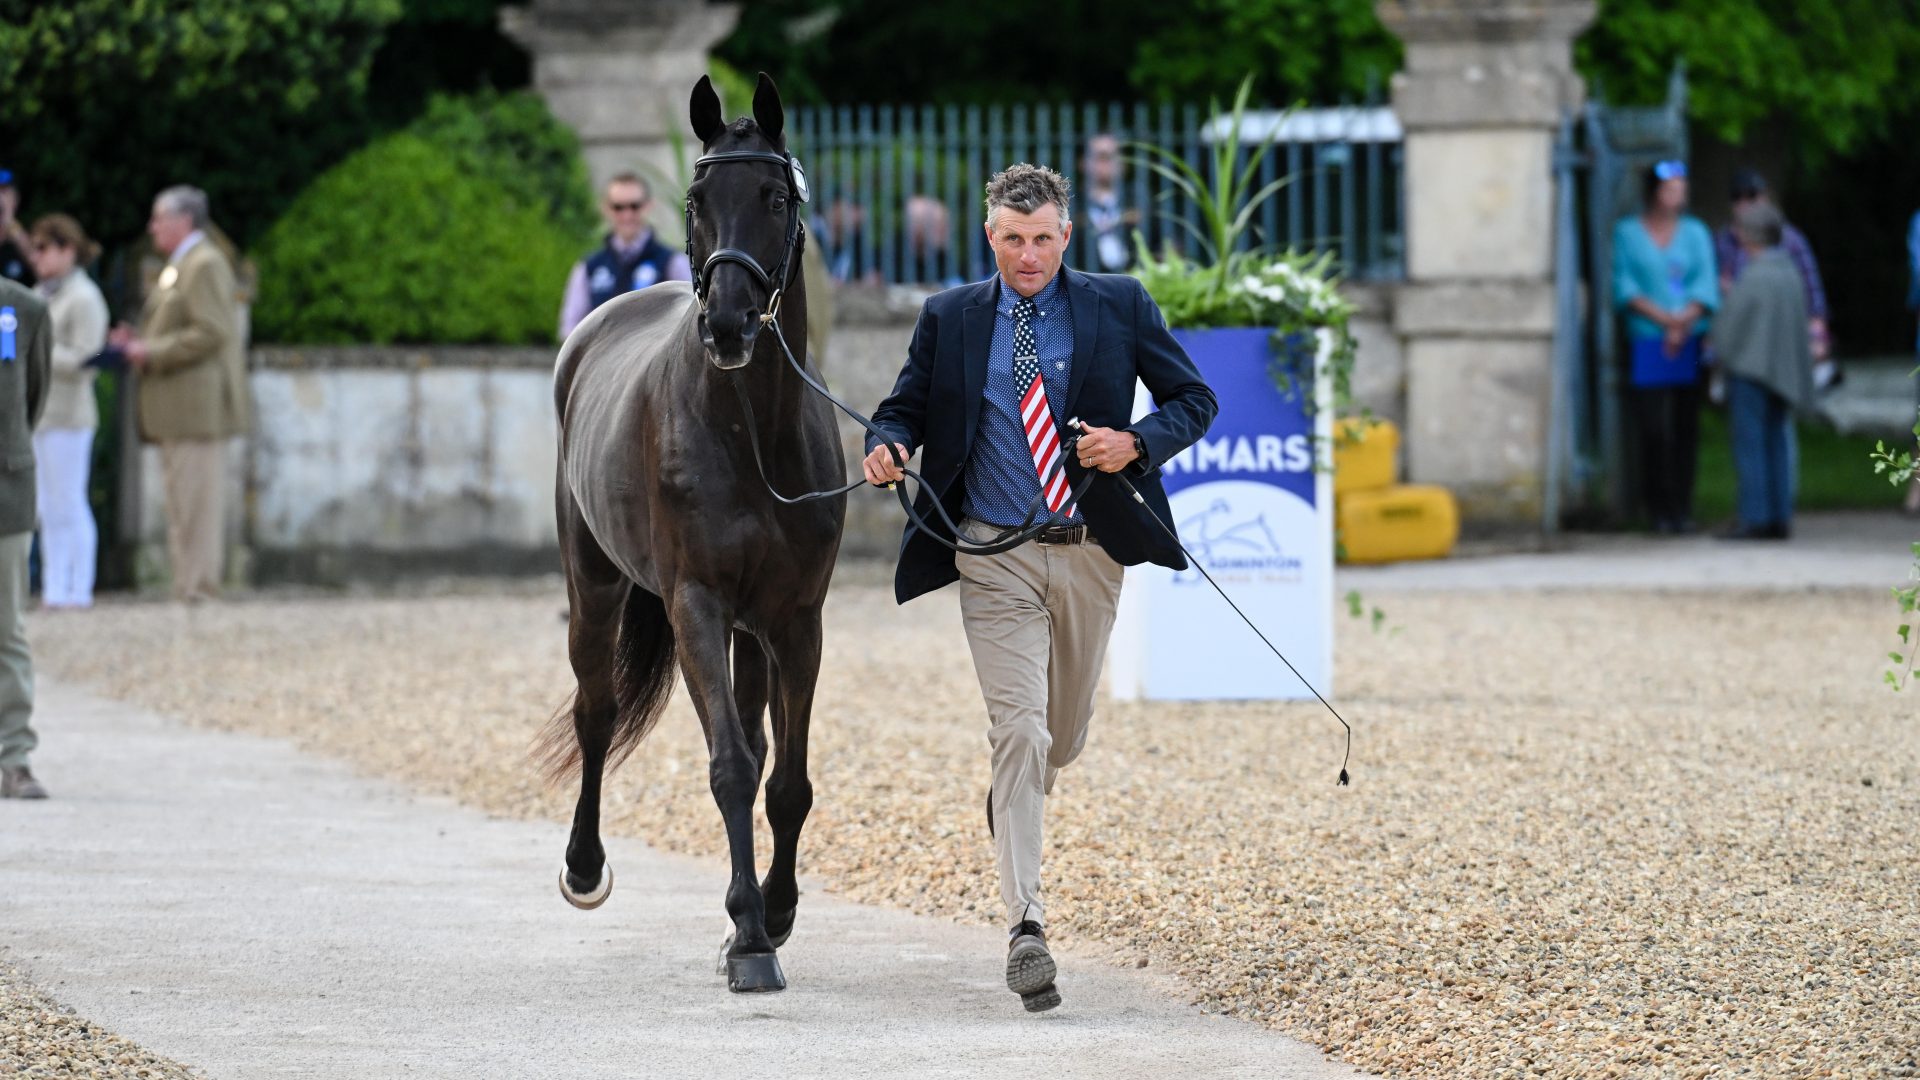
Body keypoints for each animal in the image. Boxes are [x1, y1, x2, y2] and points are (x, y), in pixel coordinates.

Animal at [538, 72, 845, 994]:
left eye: (776, 197)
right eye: (698, 199)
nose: (730, 325)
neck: (749, 431)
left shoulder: (795, 621)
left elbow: (786, 781)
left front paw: (773, 915)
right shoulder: (697, 605)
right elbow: (732, 767)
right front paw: (748, 937)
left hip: (750, 630)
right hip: (594, 588)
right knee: (596, 711)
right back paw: (583, 868)